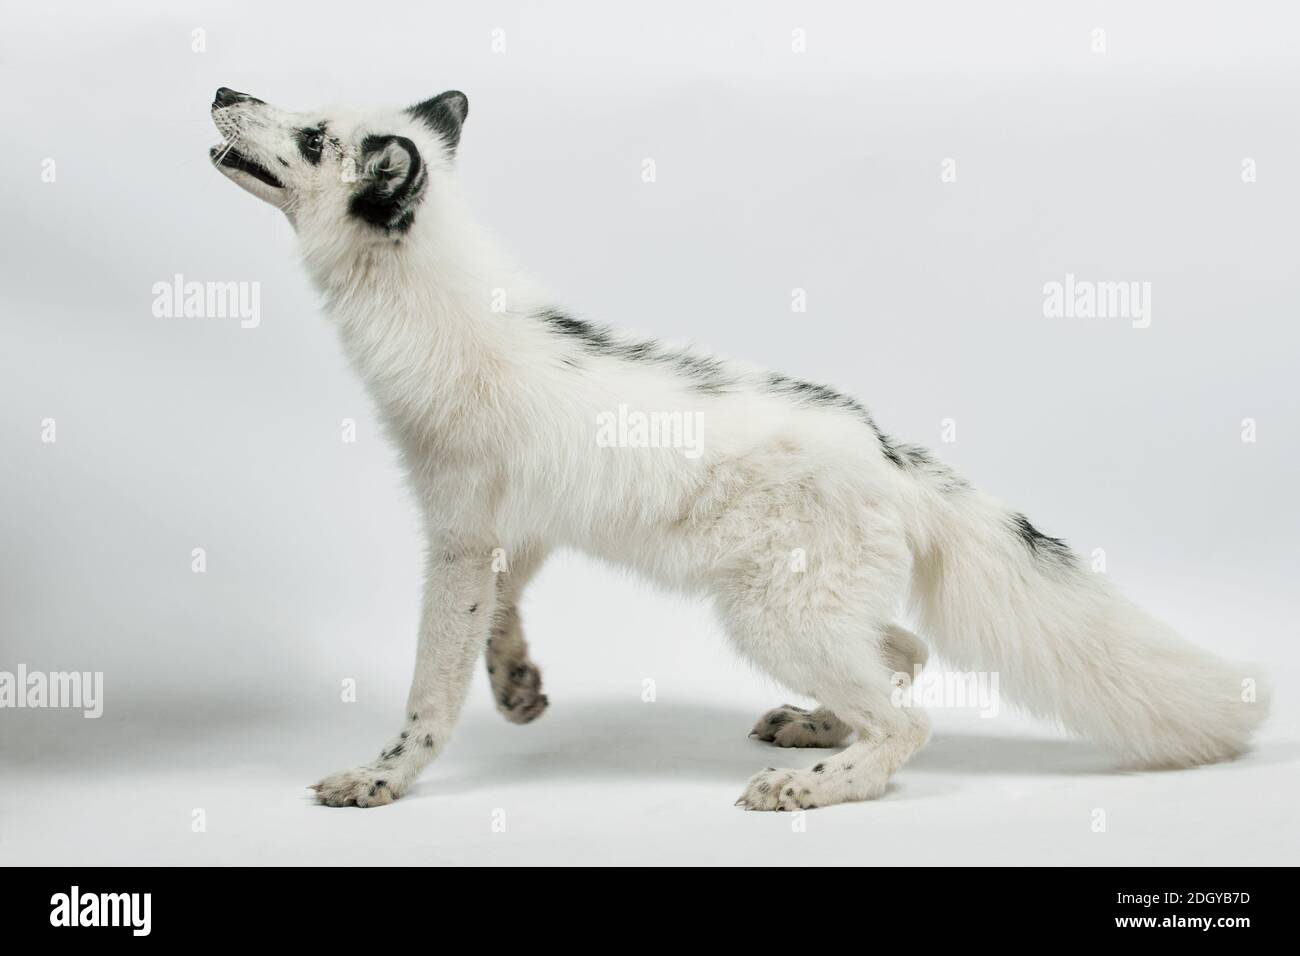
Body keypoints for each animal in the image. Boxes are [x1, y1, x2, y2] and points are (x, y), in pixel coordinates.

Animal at [208, 86, 1268, 810]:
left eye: (311, 136)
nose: (222, 89)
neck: (440, 316)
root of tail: (891, 453)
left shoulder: (459, 536)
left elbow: (431, 690)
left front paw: (385, 777)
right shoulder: (518, 532)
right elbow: (502, 626)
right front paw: (518, 692)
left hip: (770, 621)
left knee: (911, 714)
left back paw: (818, 785)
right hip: (798, 619)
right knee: (906, 652)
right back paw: (815, 730)